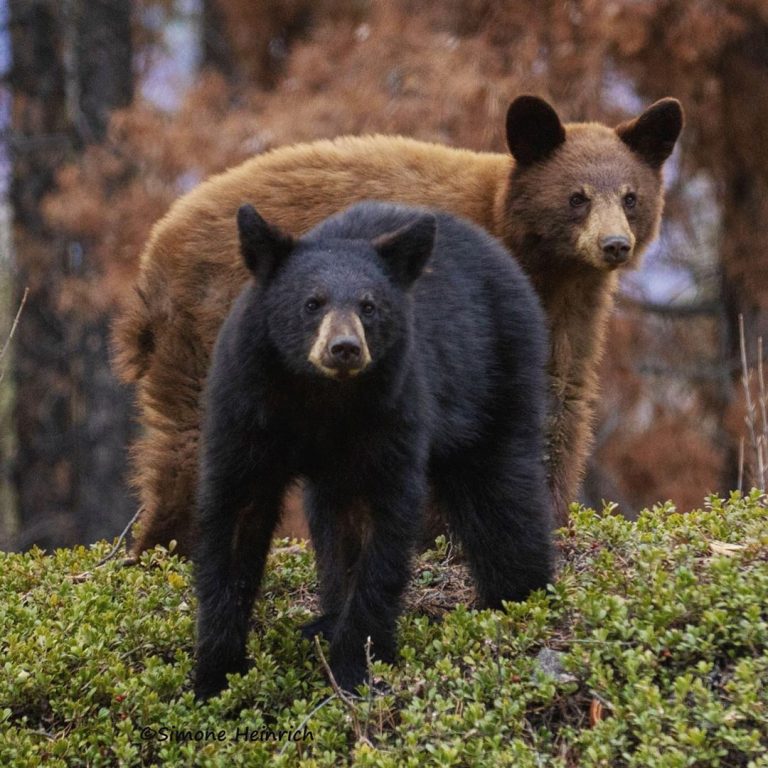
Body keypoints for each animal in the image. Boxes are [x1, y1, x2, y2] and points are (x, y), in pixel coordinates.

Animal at [113, 94, 684, 557]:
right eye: (577, 197)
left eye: (631, 196)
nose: (615, 245)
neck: (538, 262)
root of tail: (156, 249)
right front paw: (443, 535)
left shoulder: (569, 311)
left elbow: (558, 398)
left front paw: (548, 519)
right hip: (211, 325)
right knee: (191, 438)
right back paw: (165, 549)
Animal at [193, 201, 552, 699]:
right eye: (312, 303)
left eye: (369, 306)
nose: (344, 348)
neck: (320, 397)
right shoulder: (247, 406)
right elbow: (236, 514)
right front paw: (216, 674)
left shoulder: (390, 411)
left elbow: (376, 528)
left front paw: (357, 667)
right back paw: (322, 622)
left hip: (494, 373)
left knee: (501, 492)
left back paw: (520, 599)